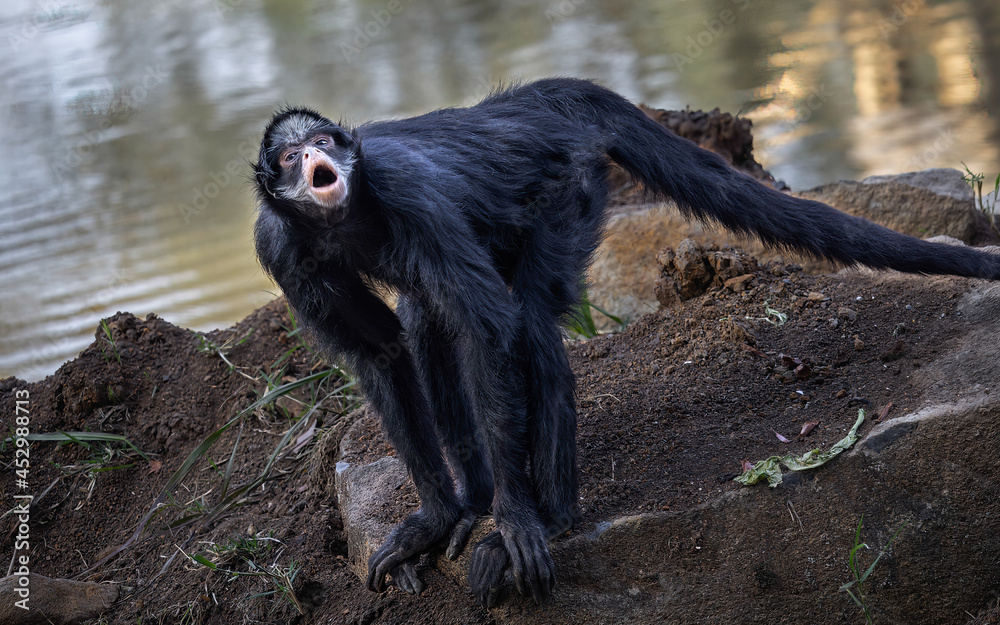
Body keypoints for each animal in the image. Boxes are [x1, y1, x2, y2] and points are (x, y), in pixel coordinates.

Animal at [252, 78, 1000, 608]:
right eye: (290, 156)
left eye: (326, 141)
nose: (316, 156)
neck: (346, 215)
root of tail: (527, 103)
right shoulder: (279, 243)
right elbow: (381, 351)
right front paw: (438, 517)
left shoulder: (410, 194)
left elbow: (491, 327)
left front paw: (515, 519)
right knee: (431, 317)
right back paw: (473, 502)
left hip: (568, 184)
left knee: (522, 322)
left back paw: (548, 519)